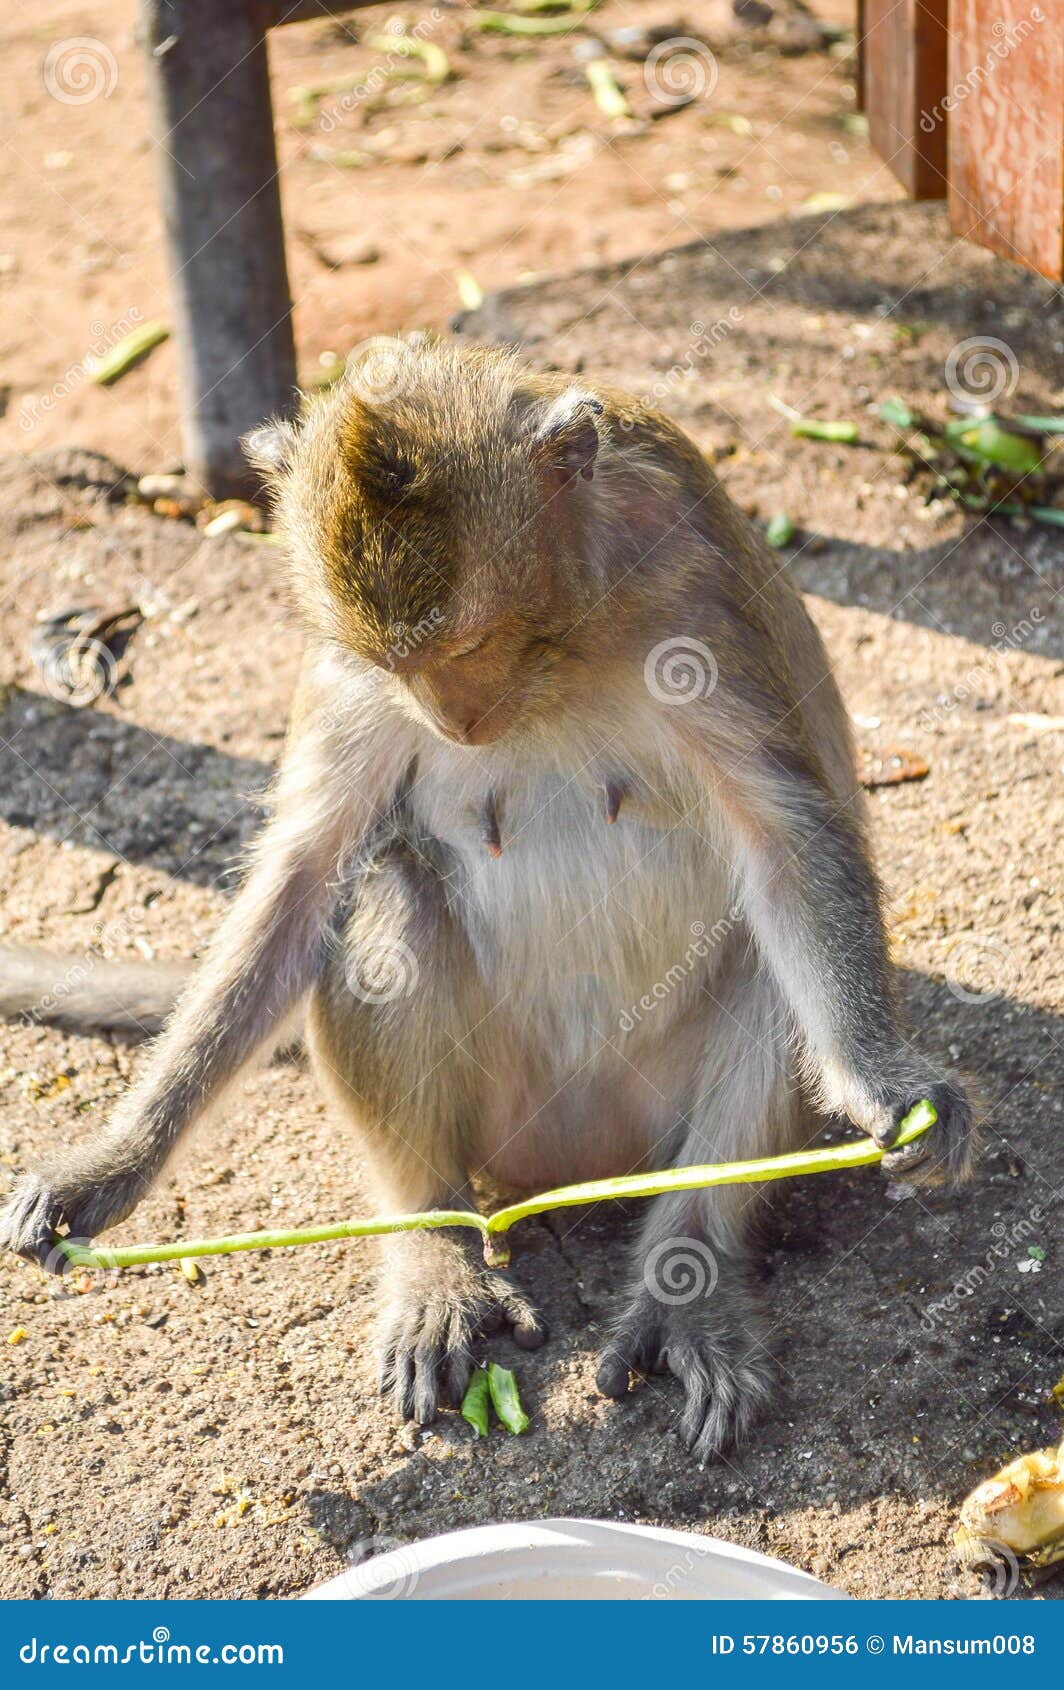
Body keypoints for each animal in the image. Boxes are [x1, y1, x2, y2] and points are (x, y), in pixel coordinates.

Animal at [0, 337, 973, 1459]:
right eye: (394, 661)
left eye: (463, 646)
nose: (452, 718)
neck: (561, 637)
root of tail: (568, 1161)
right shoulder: (344, 670)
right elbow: (302, 878)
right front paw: (110, 1166)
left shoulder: (690, 581)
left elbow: (787, 837)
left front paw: (889, 1084)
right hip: (503, 1124)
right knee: (385, 899)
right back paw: (434, 1252)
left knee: (769, 960)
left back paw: (685, 1275)